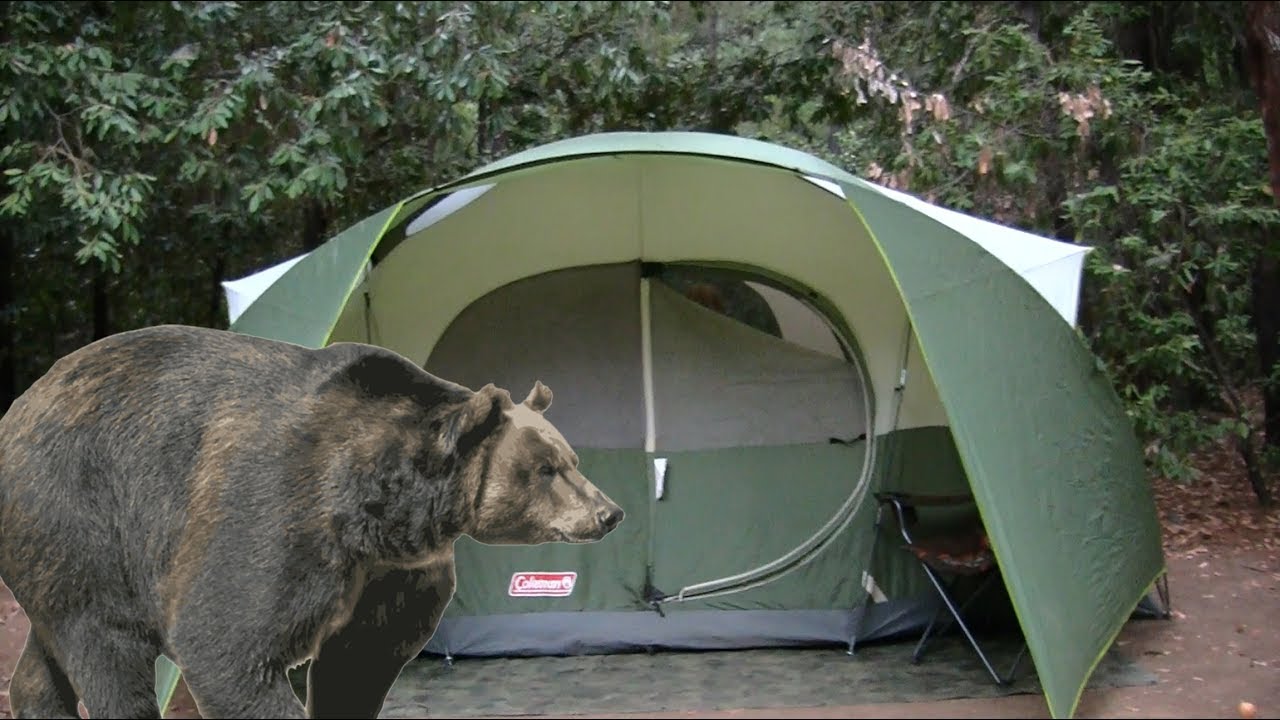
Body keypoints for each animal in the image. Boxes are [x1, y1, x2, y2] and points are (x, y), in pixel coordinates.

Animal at [0, 324, 624, 719]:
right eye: (544, 469)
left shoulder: (390, 576)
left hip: (61, 554)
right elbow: (224, 644)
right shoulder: (277, 515)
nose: (609, 512)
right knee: (105, 649)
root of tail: (22, 403)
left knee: (48, 652)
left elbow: (361, 662)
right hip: (81, 512)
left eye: (570, 459)